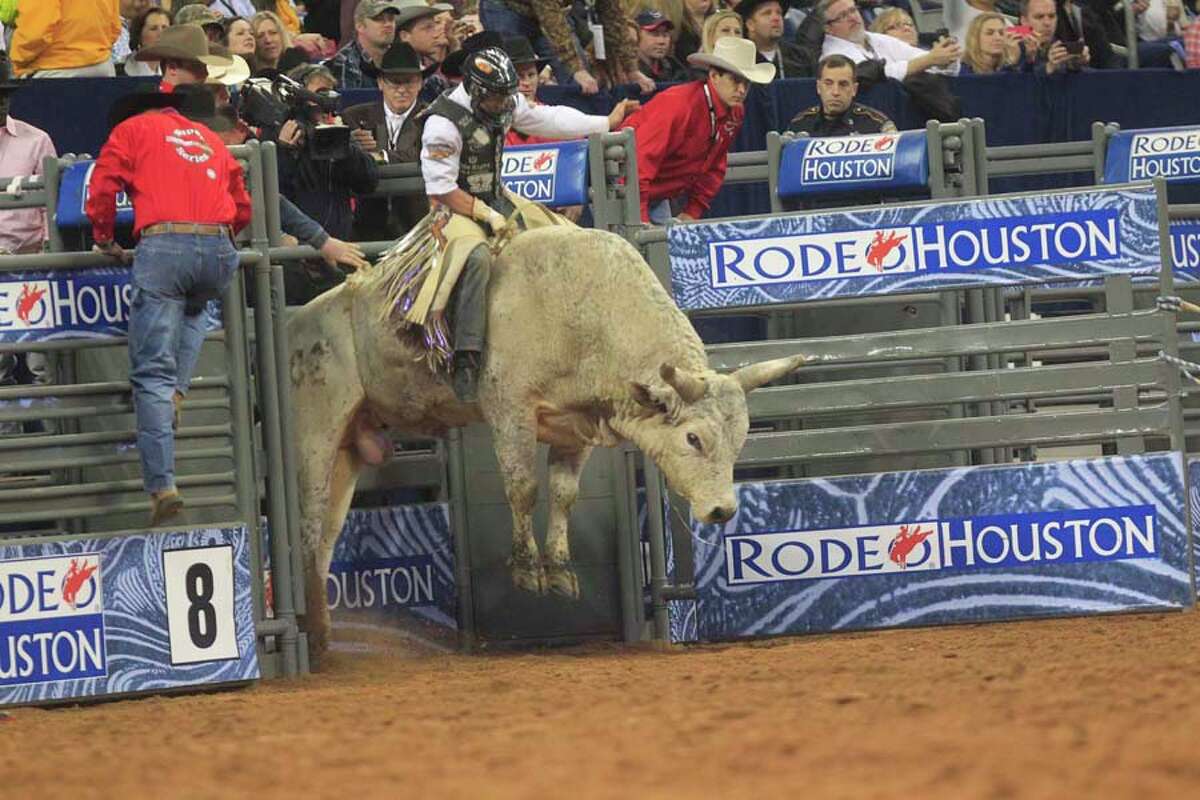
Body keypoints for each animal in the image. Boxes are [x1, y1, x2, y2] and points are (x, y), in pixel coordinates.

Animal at [288, 226, 805, 655]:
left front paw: (559, 571)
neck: (582, 308)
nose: (722, 510)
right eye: (693, 438)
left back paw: (322, 630)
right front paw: (526, 569)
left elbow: (563, 492)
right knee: (310, 522)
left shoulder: (576, 427)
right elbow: (523, 488)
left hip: (349, 446)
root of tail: (301, 319)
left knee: (329, 532)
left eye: (740, 439)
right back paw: (312, 631)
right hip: (314, 430)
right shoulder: (509, 409)